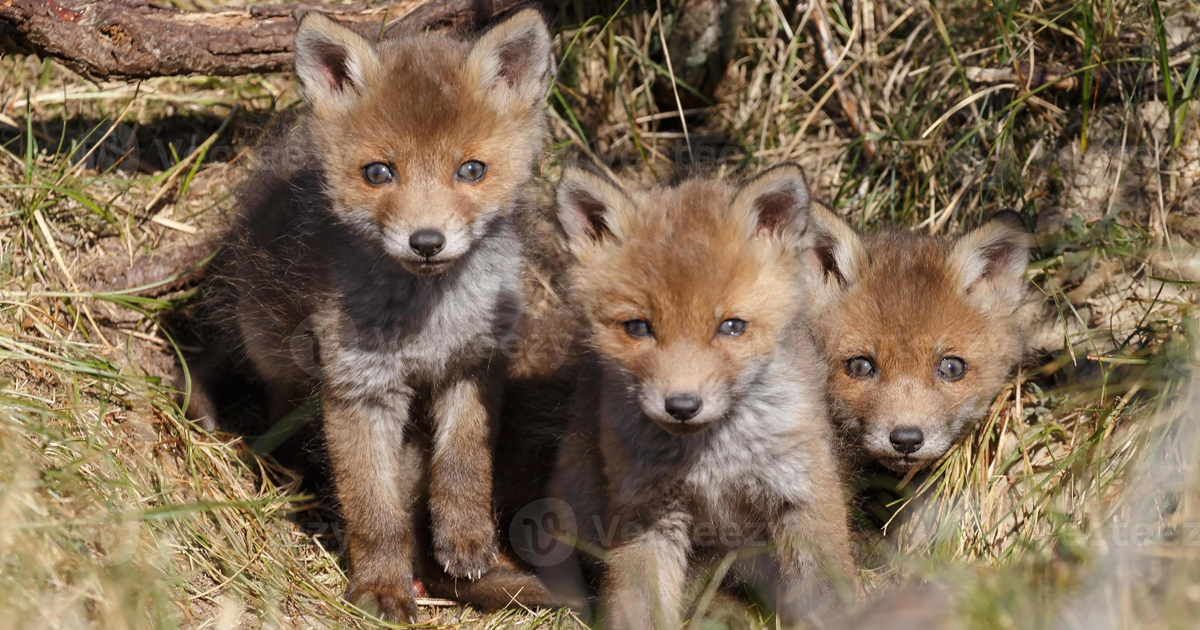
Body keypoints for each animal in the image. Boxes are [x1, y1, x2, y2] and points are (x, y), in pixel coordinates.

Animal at [183, 9, 558, 621]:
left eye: (471, 170)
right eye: (379, 172)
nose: (426, 241)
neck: (428, 322)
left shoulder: (474, 366)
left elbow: (464, 466)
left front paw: (465, 538)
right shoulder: (358, 390)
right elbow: (373, 510)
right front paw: (382, 585)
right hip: (269, 342)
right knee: (248, 382)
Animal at [538, 164, 859, 629]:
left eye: (731, 326)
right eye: (638, 327)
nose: (682, 406)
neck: (714, 461)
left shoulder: (803, 495)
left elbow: (830, 594)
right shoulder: (647, 515)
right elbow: (640, 610)